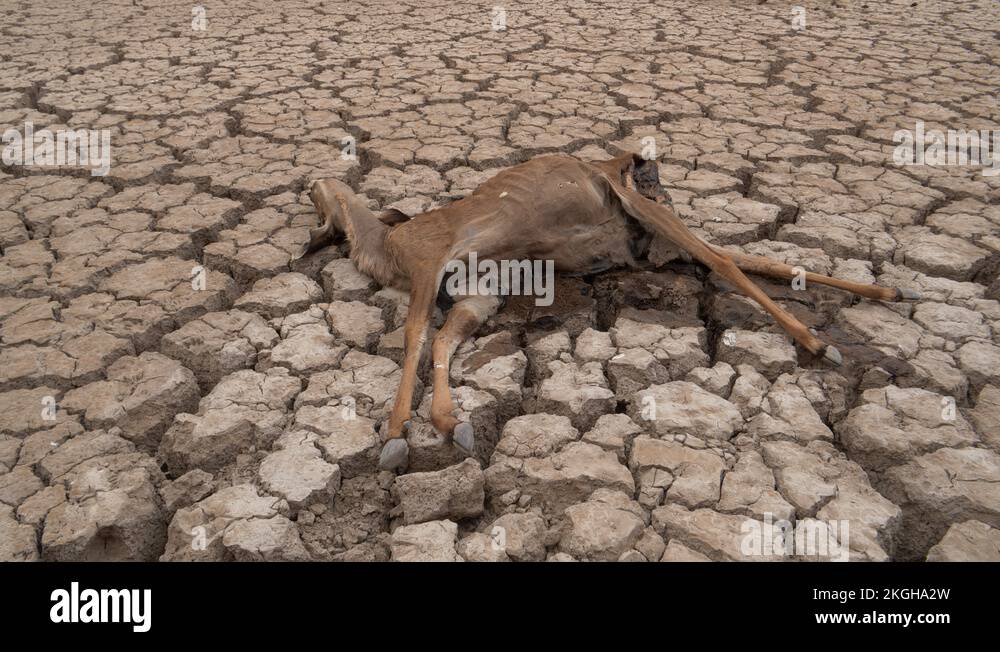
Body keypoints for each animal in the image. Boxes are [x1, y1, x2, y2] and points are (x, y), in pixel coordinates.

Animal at [298, 152, 919, 470]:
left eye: (320, 190)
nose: (311, 182)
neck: (388, 247)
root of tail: (627, 160)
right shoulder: (477, 295)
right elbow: (443, 341)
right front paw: (452, 424)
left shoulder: (432, 268)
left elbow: (413, 335)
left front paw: (396, 432)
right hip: (655, 242)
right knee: (741, 256)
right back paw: (890, 295)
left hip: (647, 214)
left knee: (726, 260)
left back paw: (821, 341)